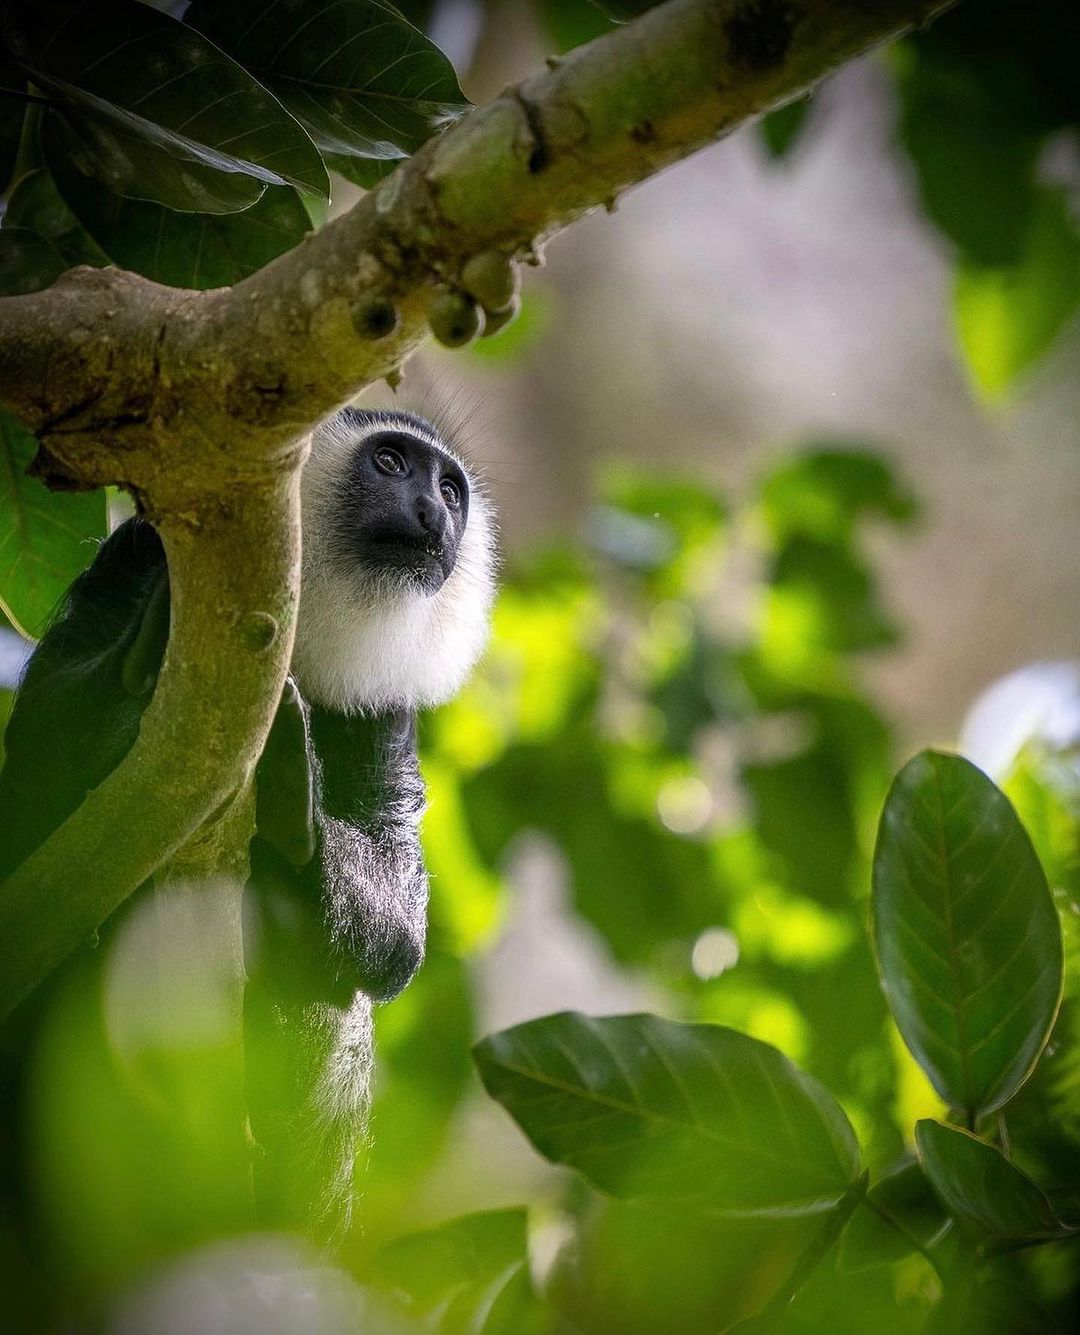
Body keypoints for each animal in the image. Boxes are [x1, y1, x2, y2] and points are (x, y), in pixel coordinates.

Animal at [0, 406, 497, 1240]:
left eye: (453, 490)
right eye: (392, 463)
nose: (434, 514)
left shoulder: (384, 707)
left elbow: (398, 925)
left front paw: (297, 812)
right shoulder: (139, 555)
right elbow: (32, 770)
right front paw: (138, 670)